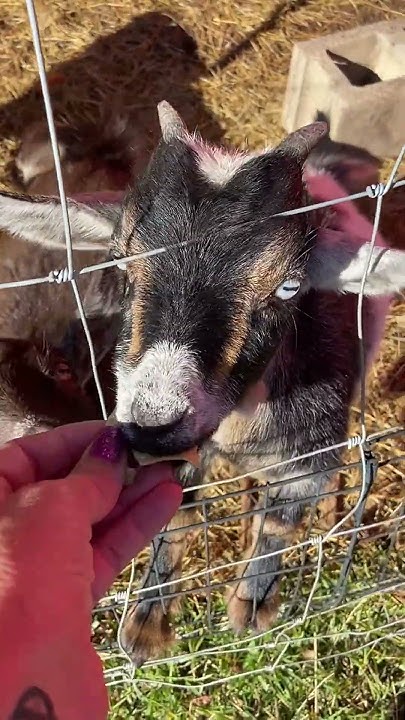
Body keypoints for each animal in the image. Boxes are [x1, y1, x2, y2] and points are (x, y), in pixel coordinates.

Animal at [0, 102, 404, 667]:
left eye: (288, 286)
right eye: (120, 262)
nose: (154, 424)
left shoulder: (309, 454)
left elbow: (281, 522)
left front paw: (252, 607)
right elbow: (176, 520)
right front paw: (145, 628)